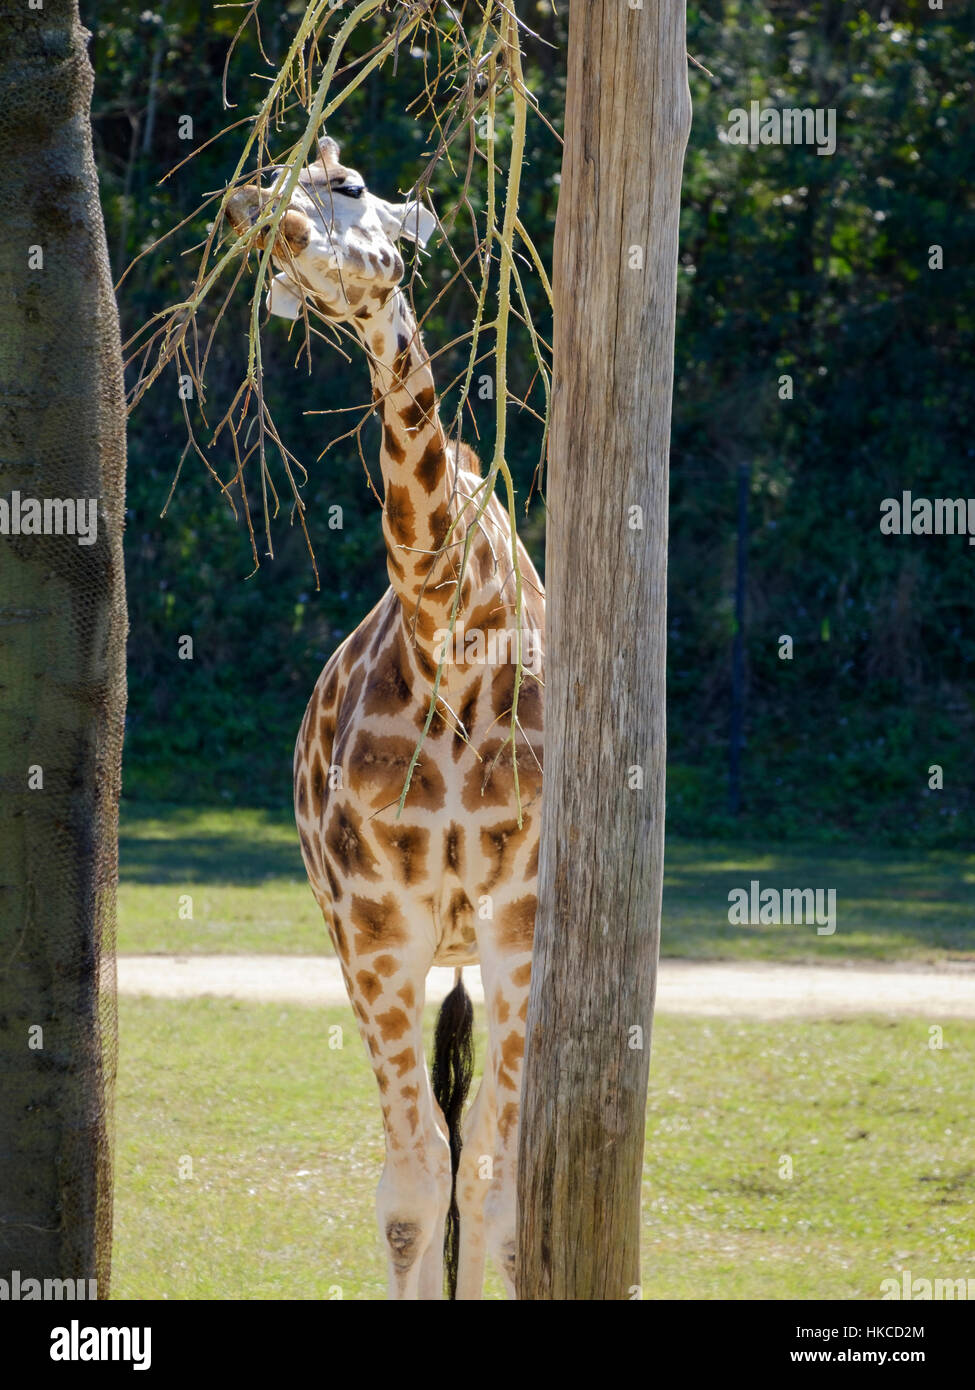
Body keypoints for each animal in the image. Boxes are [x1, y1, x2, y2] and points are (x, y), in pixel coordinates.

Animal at [226, 136, 544, 1300]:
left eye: (350, 187)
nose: (252, 210)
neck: (454, 636)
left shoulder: (518, 919)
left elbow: (498, 1191)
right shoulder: (375, 927)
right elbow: (411, 1196)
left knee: (480, 1157)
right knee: (442, 1157)